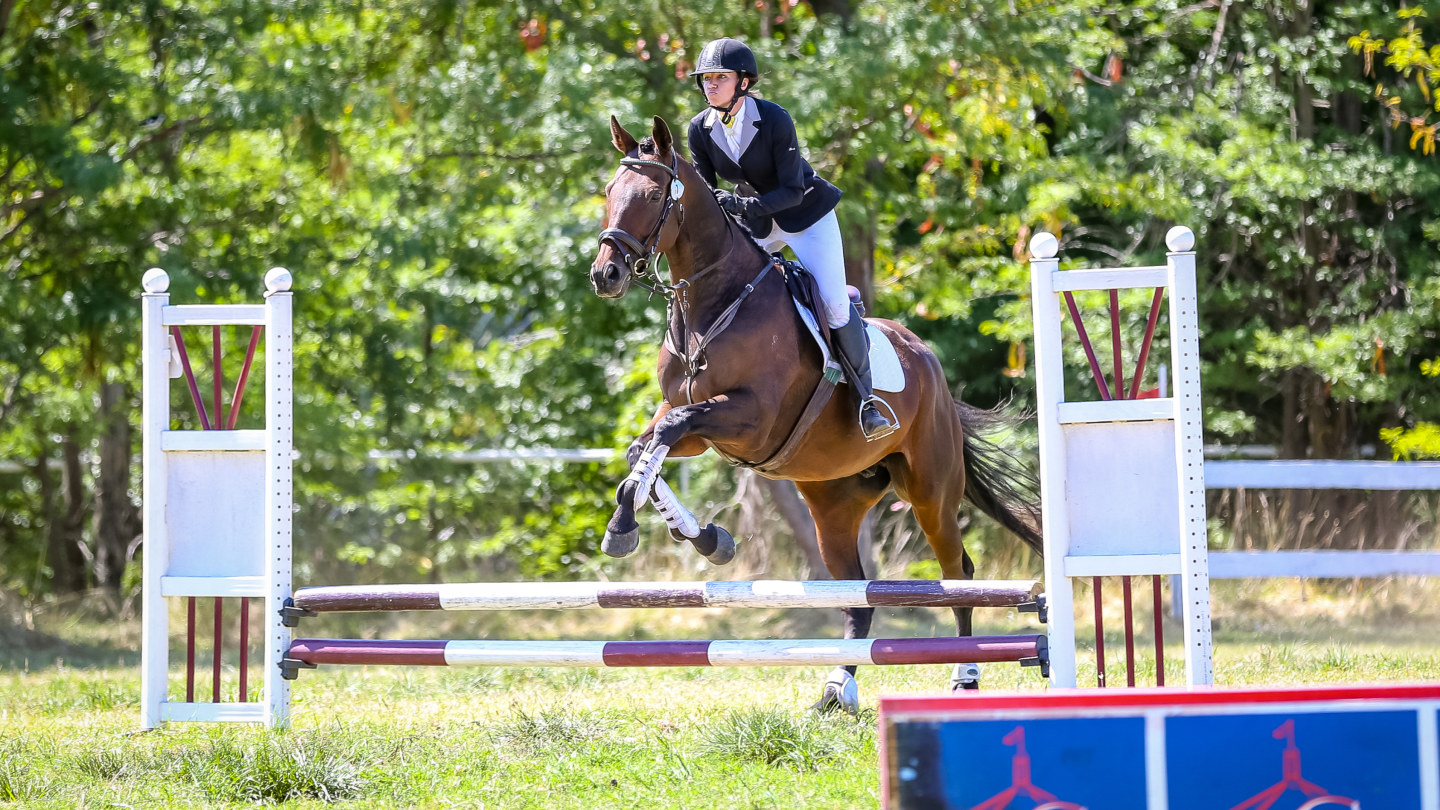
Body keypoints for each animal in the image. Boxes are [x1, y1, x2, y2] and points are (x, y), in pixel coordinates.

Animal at [589, 115, 1042, 709]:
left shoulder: (749, 420)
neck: (713, 302)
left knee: (957, 573)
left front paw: (658, 532)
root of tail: (927, 361)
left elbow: (663, 432)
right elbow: (644, 450)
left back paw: (963, 676)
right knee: (858, 596)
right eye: (609, 192)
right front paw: (693, 536)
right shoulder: (699, 424)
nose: (605, 275)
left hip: (931, 490)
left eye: (650, 196)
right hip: (833, 504)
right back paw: (836, 685)